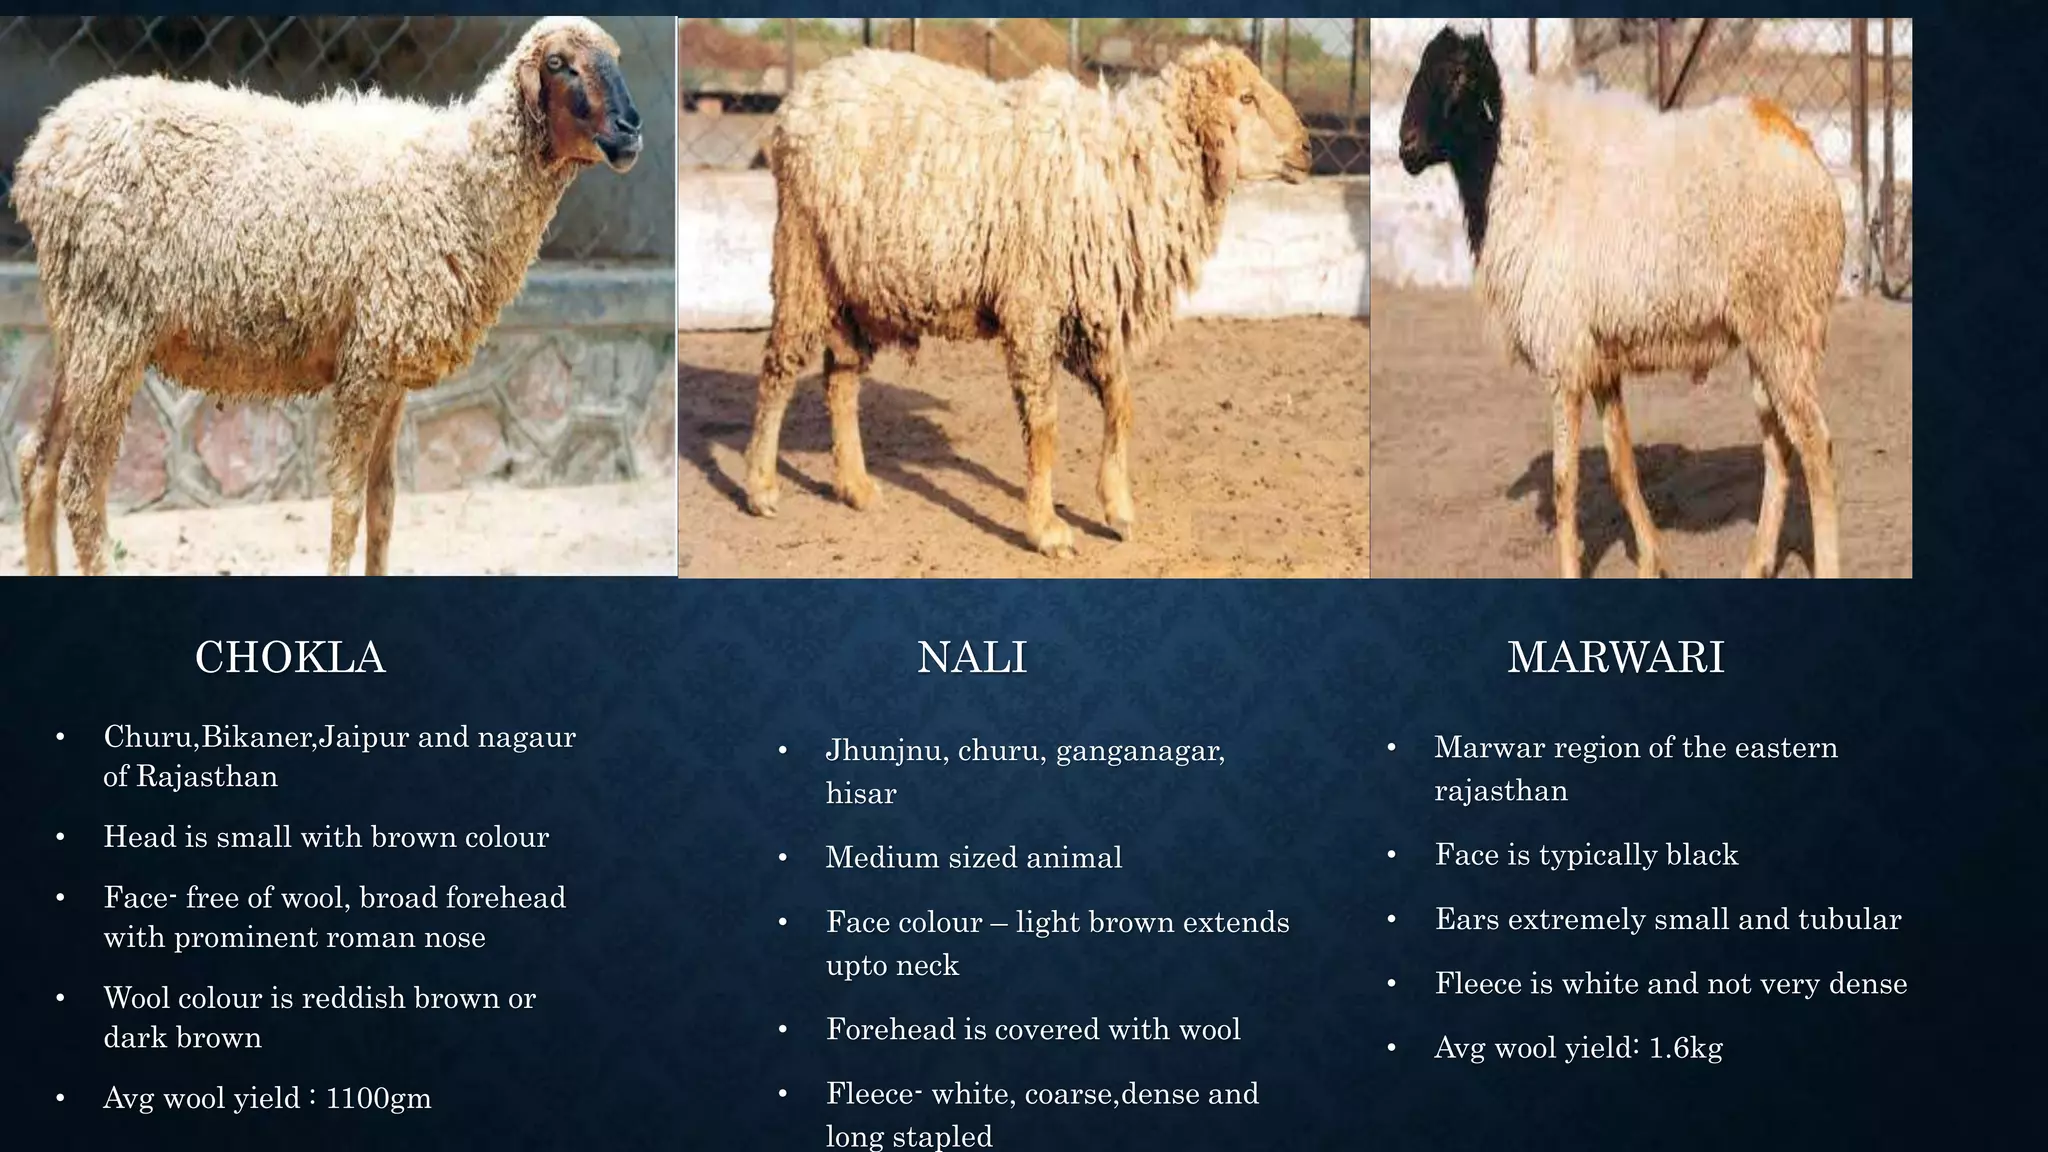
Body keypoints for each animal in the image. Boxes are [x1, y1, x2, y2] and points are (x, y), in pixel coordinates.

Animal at [9, 15, 643, 576]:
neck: (458, 181)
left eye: (617, 56)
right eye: (559, 64)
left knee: (37, 459)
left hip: (80, 328)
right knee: (80, 484)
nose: (631, 129)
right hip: (110, 324)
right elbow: (346, 502)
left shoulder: (391, 368)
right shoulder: (365, 366)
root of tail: (41, 152)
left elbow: (384, 501)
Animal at [743, 44, 1310, 557]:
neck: (1123, 169)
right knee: (779, 369)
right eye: (1245, 98)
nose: (1307, 148)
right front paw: (1046, 529)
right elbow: (1044, 426)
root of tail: (800, 97)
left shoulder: (1087, 313)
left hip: (859, 288)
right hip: (802, 258)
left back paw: (855, 486)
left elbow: (1121, 403)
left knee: (840, 379)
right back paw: (760, 487)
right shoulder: (1034, 308)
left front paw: (1117, 507)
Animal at [1398, 28, 1844, 578]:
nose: (1405, 147)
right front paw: (1653, 558)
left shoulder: (1564, 356)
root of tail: (1804, 150)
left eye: (1460, 75)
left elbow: (1565, 480)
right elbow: (1620, 465)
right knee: (1779, 446)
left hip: (1788, 324)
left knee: (1815, 445)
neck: (1514, 169)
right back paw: (1757, 562)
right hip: (1767, 337)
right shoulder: (1600, 355)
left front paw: (1571, 569)